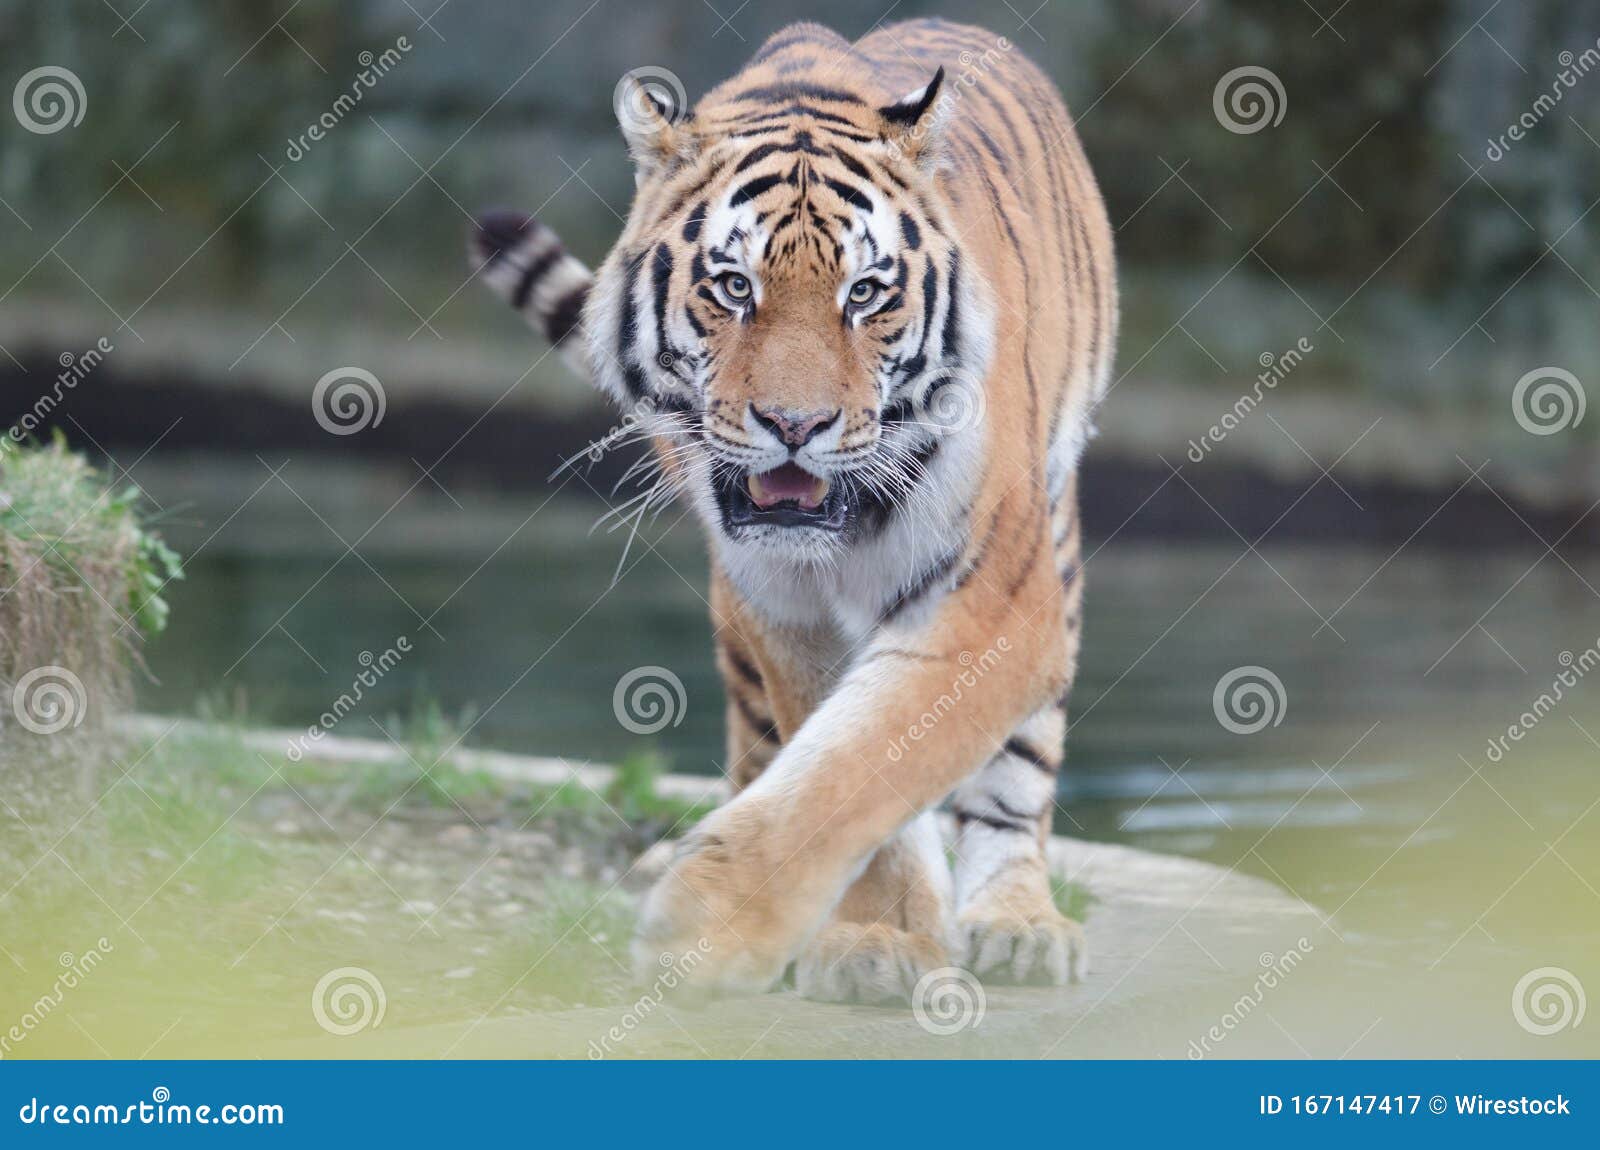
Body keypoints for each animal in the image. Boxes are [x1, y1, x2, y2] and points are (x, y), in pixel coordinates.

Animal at [469, 17, 1116, 1002]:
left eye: (866, 293)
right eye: (734, 286)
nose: (795, 426)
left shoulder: (994, 604)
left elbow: (869, 754)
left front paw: (713, 920)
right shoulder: (783, 607)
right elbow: (841, 763)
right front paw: (877, 937)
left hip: (1056, 555)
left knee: (1017, 776)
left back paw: (1019, 924)